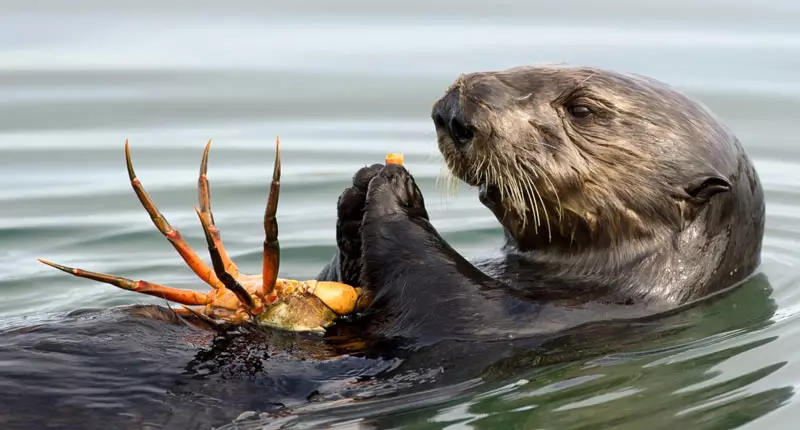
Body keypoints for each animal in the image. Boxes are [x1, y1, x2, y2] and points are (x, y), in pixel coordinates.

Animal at [316, 63, 764, 342]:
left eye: (581, 109)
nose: (452, 110)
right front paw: (357, 194)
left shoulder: (527, 322)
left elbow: (445, 300)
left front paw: (393, 192)